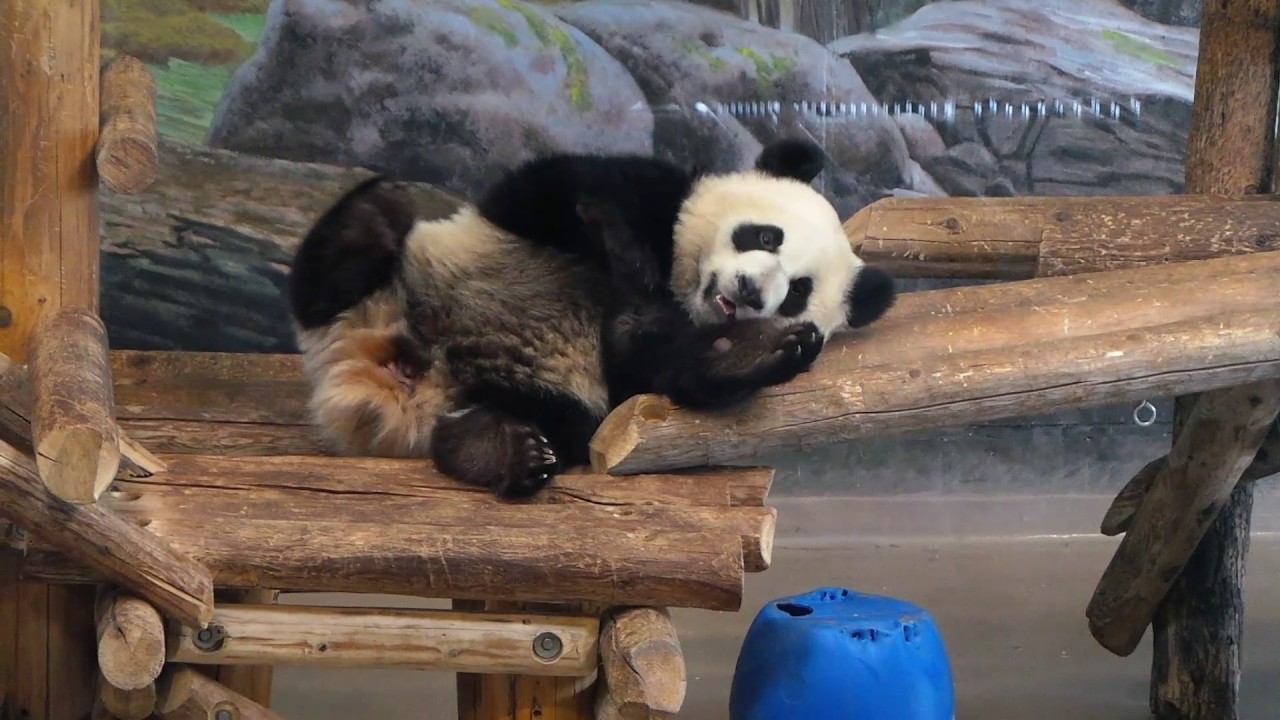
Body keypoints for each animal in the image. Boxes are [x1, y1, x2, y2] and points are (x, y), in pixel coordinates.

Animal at [287, 137, 896, 500]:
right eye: (766, 236)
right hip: (391, 289)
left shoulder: (638, 354)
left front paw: (753, 352)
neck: (678, 285)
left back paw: (499, 449)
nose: (750, 292)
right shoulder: (615, 197)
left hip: (545, 395)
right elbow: (566, 187)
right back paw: (369, 220)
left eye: (798, 292)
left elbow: (654, 367)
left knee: (545, 427)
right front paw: (627, 248)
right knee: (329, 278)